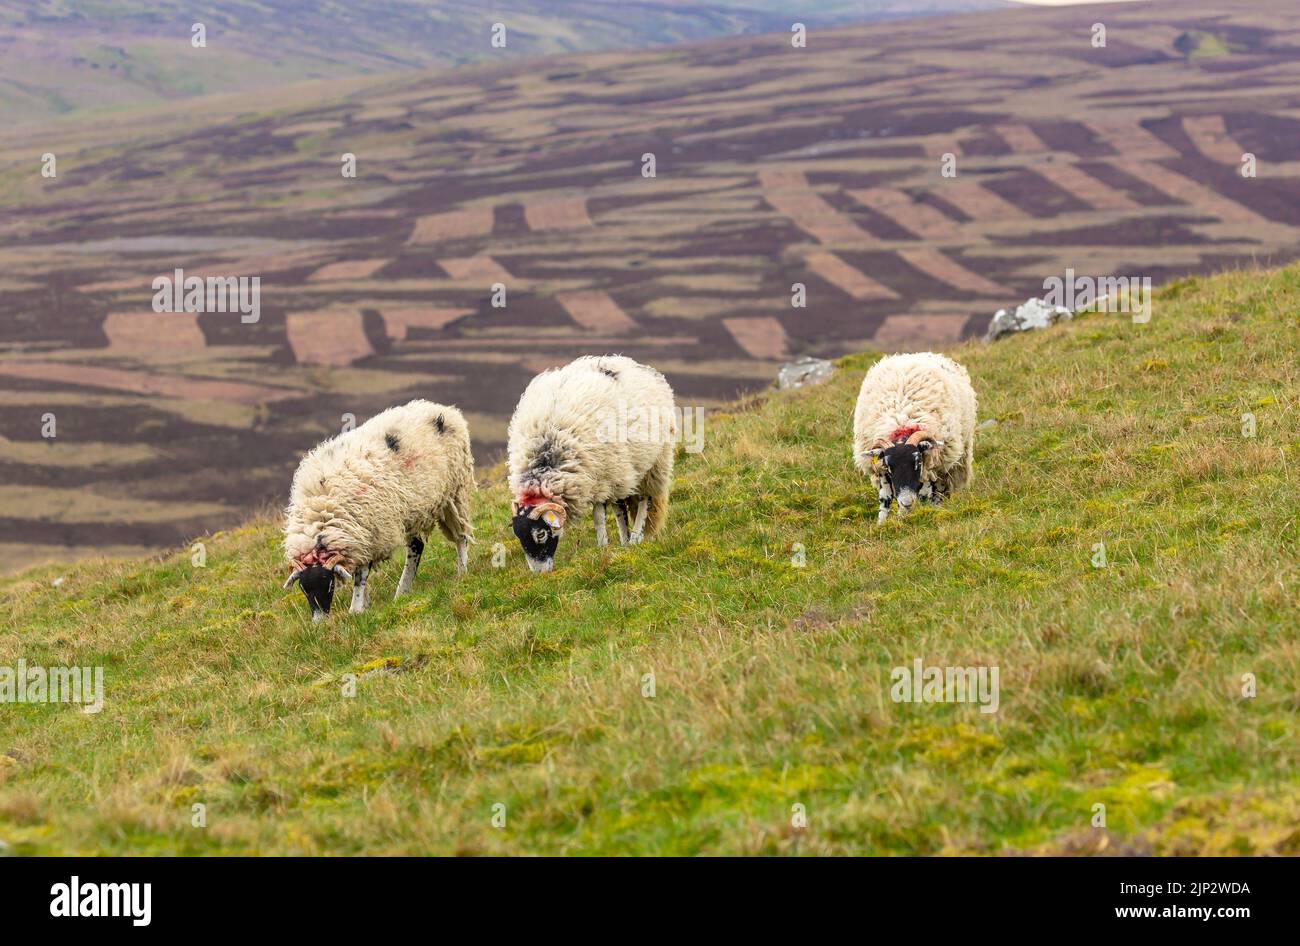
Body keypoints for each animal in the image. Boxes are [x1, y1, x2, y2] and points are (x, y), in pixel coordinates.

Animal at [282, 400, 474, 619]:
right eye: (303, 589)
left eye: (330, 585)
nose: (320, 622)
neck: (321, 510)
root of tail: (444, 409)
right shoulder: (357, 540)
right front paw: (364, 604)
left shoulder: (371, 533)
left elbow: (361, 575)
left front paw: (356, 608)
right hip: (411, 510)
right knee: (416, 547)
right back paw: (402, 592)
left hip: (454, 493)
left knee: (460, 537)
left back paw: (461, 571)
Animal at [507, 355, 676, 572]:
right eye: (519, 537)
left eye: (541, 534)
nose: (539, 573)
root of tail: (634, 364)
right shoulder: (604, 476)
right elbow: (615, 511)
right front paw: (613, 544)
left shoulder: (601, 477)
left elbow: (598, 517)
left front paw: (602, 545)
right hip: (624, 468)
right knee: (621, 506)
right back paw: (625, 540)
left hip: (651, 461)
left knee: (644, 499)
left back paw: (636, 537)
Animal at [852, 352, 977, 522]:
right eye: (890, 467)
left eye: (917, 462)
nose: (907, 502)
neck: (902, 424)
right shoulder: (880, 468)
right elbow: (885, 497)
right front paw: (883, 523)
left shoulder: (928, 463)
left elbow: (926, 491)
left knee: (940, 488)